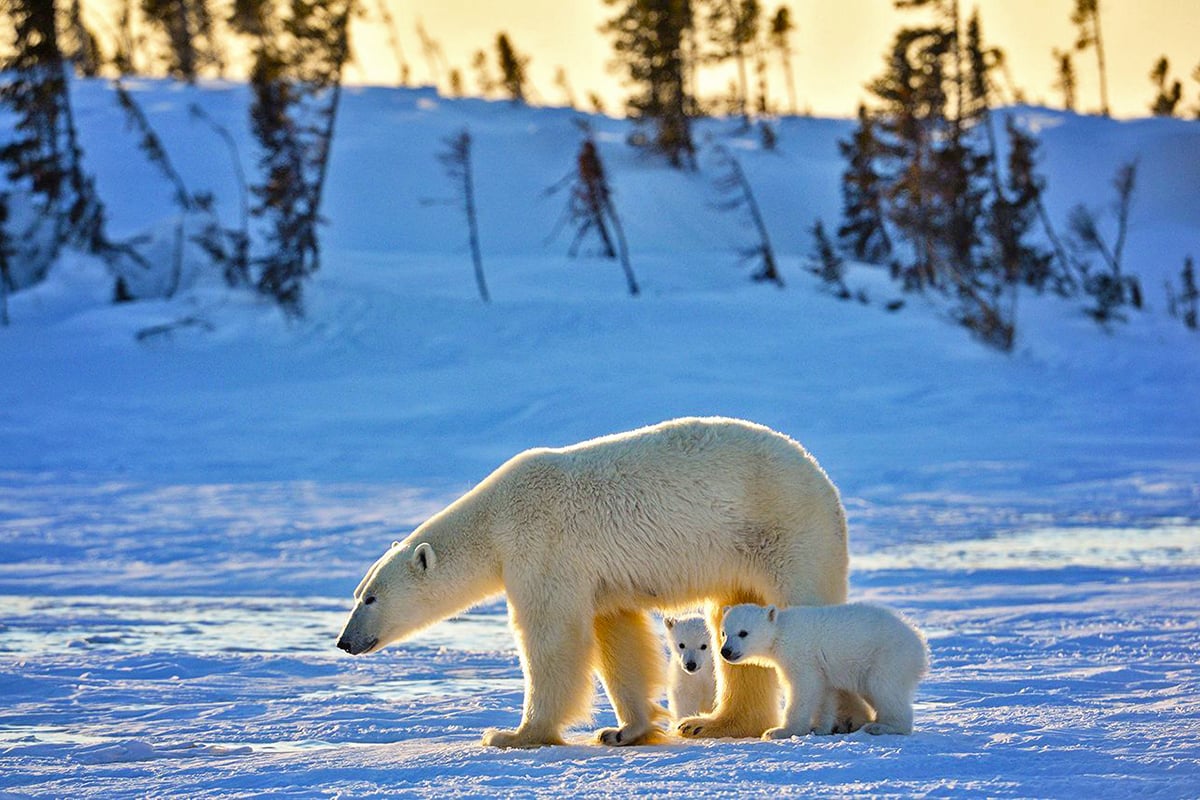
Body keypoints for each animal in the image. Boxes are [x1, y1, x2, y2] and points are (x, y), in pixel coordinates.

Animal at [336, 416, 866, 748]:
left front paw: (513, 735)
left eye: (371, 597)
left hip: (784, 532)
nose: (344, 641)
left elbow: (551, 638)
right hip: (743, 555)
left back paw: (844, 718)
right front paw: (626, 730)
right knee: (734, 619)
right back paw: (712, 723)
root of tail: (825, 483)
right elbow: (617, 636)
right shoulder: (598, 579)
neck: (496, 518)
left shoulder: (543, 547)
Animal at [719, 602, 929, 739]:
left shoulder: (800, 655)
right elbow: (825, 692)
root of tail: (919, 643)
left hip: (888, 657)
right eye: (724, 633)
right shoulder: (819, 666)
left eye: (743, 633)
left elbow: (804, 688)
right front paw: (822, 727)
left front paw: (779, 731)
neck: (780, 633)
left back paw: (881, 727)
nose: (725, 651)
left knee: (884, 689)